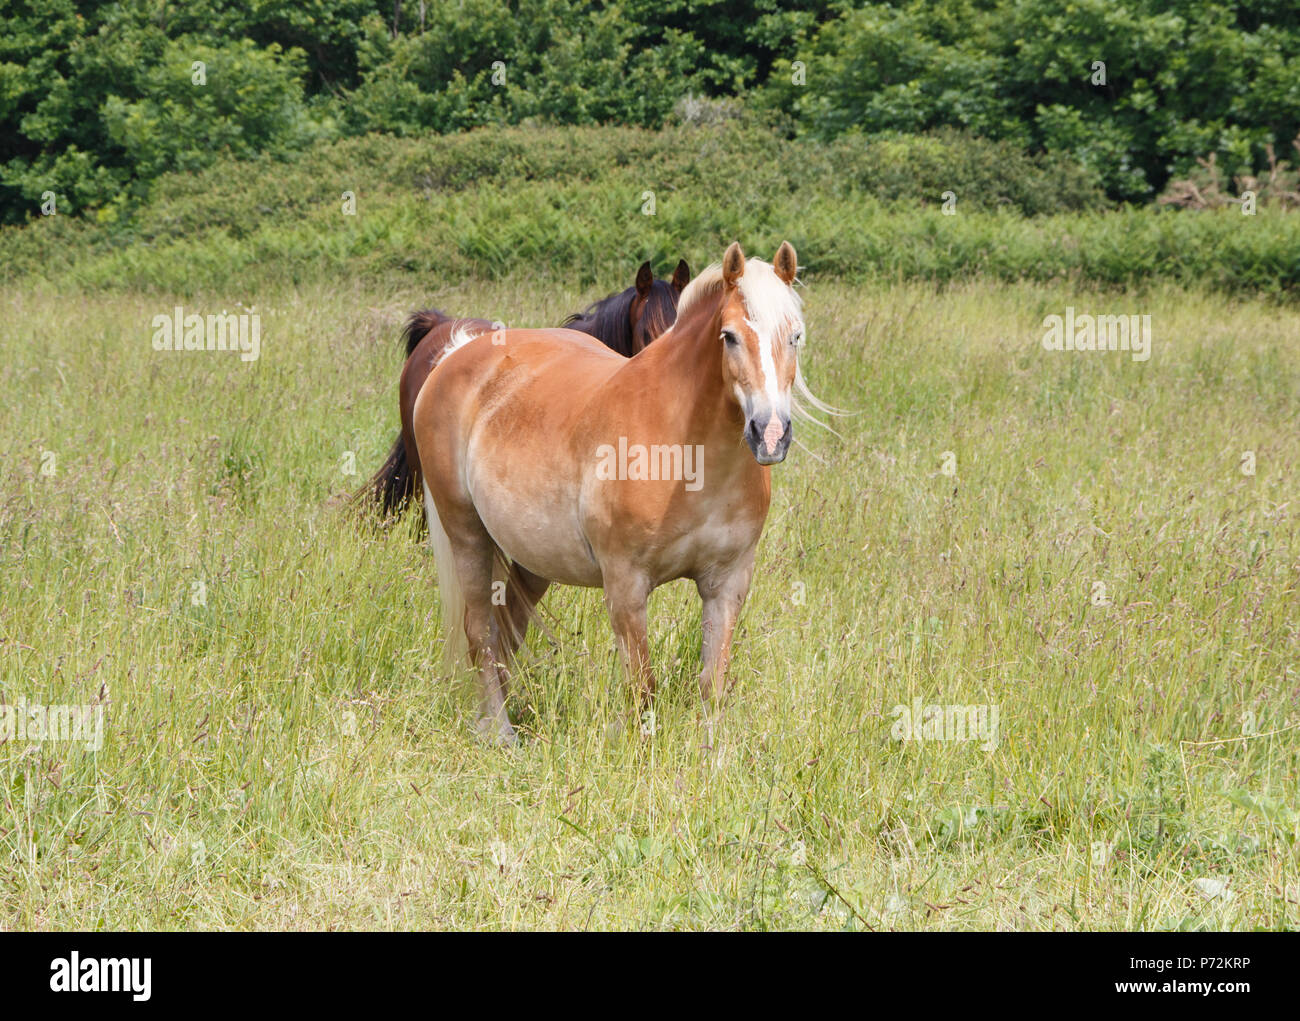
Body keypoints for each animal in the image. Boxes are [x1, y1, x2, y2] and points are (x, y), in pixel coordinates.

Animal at [414, 242, 817, 744]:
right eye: (729, 337)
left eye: (795, 336)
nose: (770, 434)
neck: (687, 452)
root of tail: (455, 352)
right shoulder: (626, 585)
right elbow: (643, 686)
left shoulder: (728, 582)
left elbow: (712, 683)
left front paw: (712, 753)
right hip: (468, 536)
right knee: (481, 632)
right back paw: (500, 732)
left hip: (533, 561)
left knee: (508, 629)